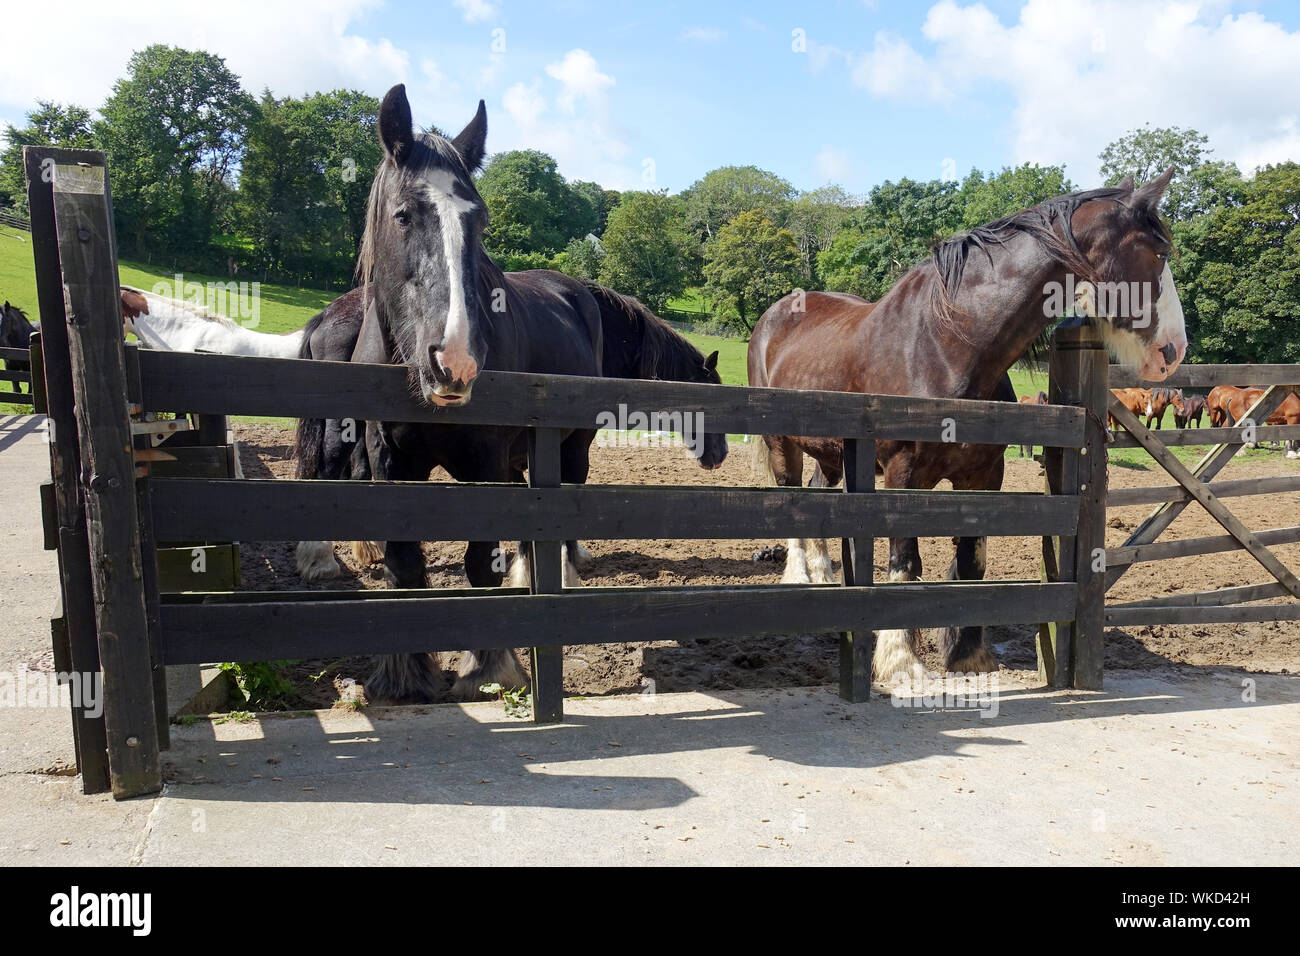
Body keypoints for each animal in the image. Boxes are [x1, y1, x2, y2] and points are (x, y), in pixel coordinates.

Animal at [293, 280, 729, 581]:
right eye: (713, 392)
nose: (720, 454)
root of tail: (326, 315)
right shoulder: (569, 445)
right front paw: (569, 560)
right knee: (333, 466)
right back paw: (324, 556)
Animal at [748, 170, 1186, 682]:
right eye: (1159, 253)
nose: (1174, 350)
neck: (944, 345)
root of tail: (773, 315)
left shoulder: (983, 475)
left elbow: (972, 558)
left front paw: (967, 653)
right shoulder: (902, 474)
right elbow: (905, 561)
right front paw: (901, 660)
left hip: (833, 451)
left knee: (820, 498)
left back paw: (824, 579)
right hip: (781, 442)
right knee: (793, 504)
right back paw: (801, 579)